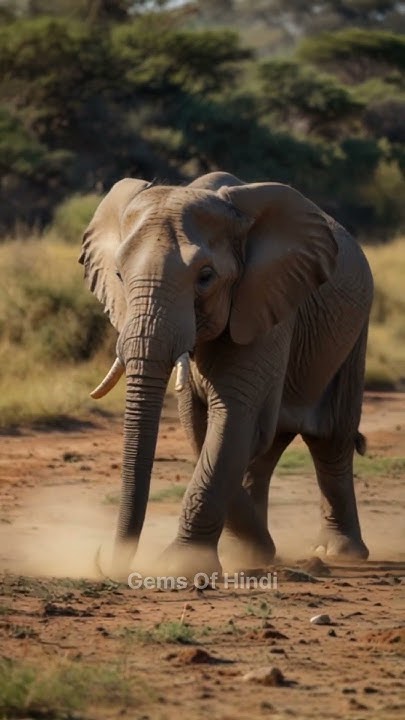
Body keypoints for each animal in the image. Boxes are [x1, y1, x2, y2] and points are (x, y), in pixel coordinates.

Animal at [79, 171, 373, 578]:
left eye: (206, 277)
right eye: (120, 275)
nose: (110, 562)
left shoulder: (266, 304)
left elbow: (232, 418)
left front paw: (182, 568)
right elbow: (204, 427)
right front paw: (255, 551)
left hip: (355, 333)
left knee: (330, 440)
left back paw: (339, 552)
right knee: (267, 449)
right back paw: (251, 552)